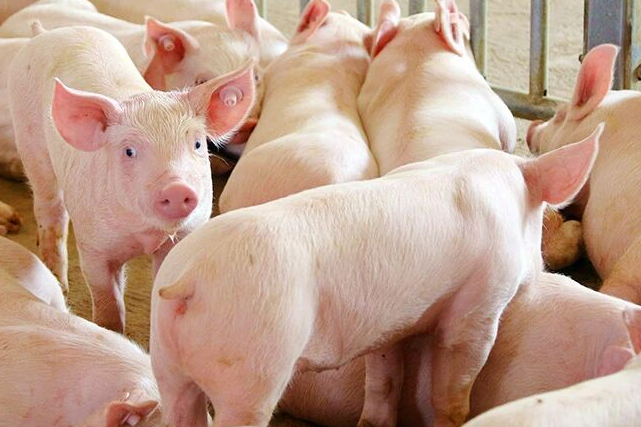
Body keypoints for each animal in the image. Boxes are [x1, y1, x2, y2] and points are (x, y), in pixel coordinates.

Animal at [8, 25, 255, 332]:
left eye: (197, 144)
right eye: (129, 151)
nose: (176, 187)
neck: (144, 235)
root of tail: (48, 32)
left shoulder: (184, 235)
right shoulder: (93, 246)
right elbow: (107, 302)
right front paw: (113, 332)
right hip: (31, 142)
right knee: (50, 210)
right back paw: (60, 284)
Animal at [149, 126, 600, 427]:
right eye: (541, 220)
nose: (542, 268)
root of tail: (188, 281)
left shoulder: (392, 325)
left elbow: (384, 377)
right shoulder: (479, 305)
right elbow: (455, 385)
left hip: (166, 359)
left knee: (179, 408)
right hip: (251, 361)